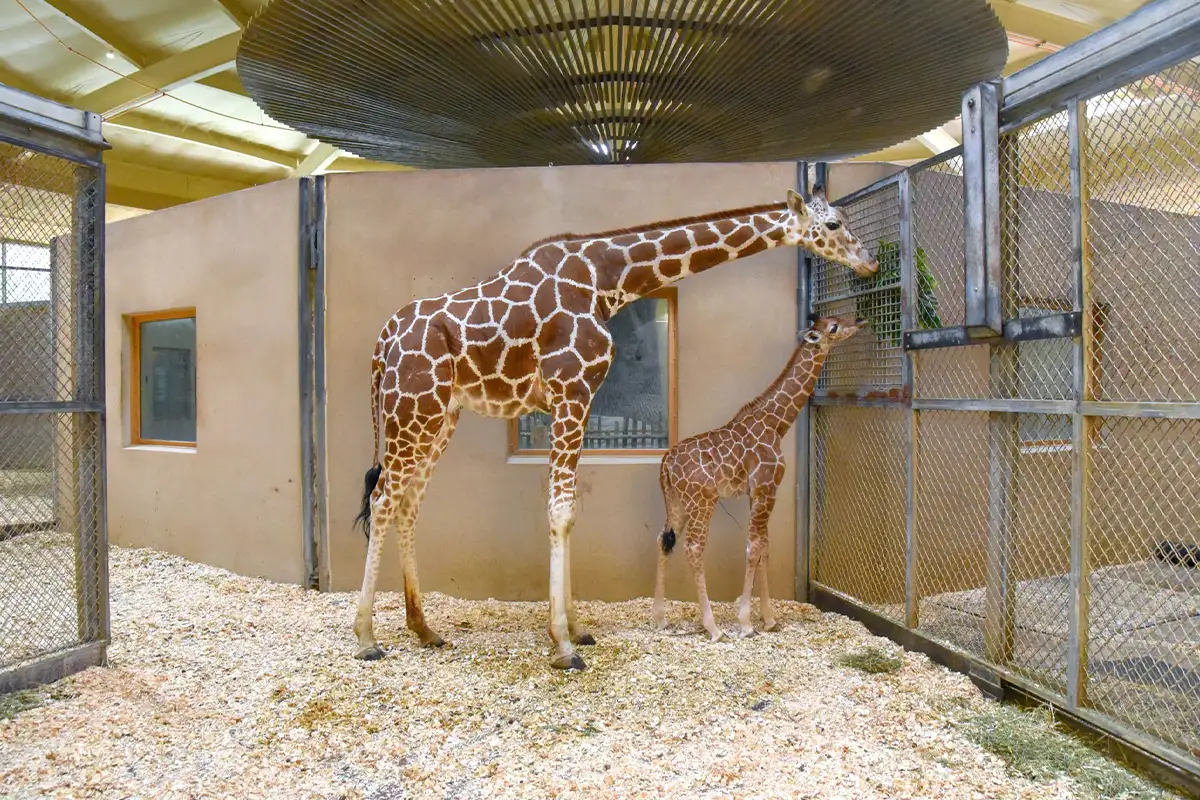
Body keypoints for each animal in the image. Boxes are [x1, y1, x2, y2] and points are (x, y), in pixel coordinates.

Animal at [651, 315, 863, 641]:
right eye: (834, 327)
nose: (860, 321)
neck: (776, 423)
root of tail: (666, 465)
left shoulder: (757, 492)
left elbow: (765, 548)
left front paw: (770, 619)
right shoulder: (767, 487)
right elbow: (753, 548)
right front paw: (746, 623)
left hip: (676, 502)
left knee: (664, 540)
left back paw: (661, 619)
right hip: (703, 501)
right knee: (693, 548)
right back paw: (713, 628)